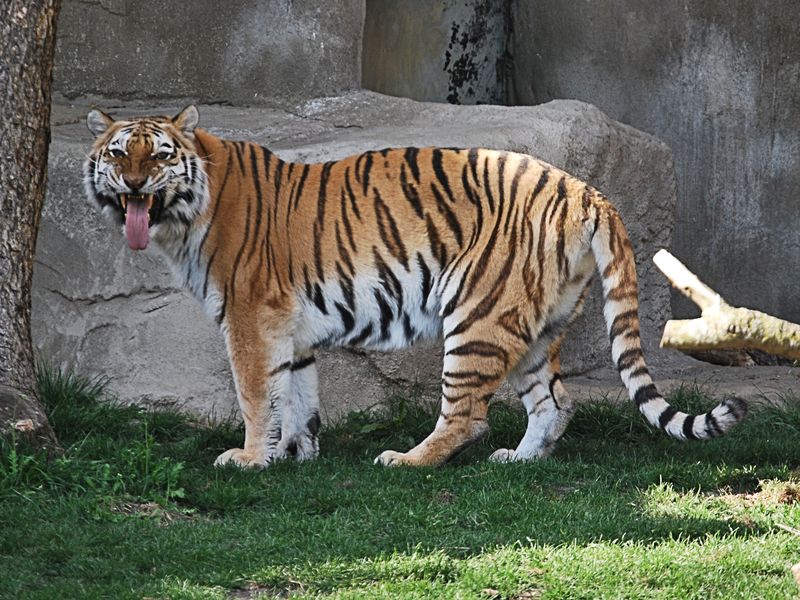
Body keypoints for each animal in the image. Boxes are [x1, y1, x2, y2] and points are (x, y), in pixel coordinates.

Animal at [83, 105, 746, 468]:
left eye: (159, 156)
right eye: (118, 154)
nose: (135, 185)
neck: (183, 217)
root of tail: (586, 190)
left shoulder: (250, 318)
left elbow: (255, 394)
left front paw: (247, 458)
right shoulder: (290, 330)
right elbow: (296, 395)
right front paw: (293, 454)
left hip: (476, 313)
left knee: (468, 416)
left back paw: (405, 459)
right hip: (535, 322)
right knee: (555, 404)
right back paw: (517, 460)